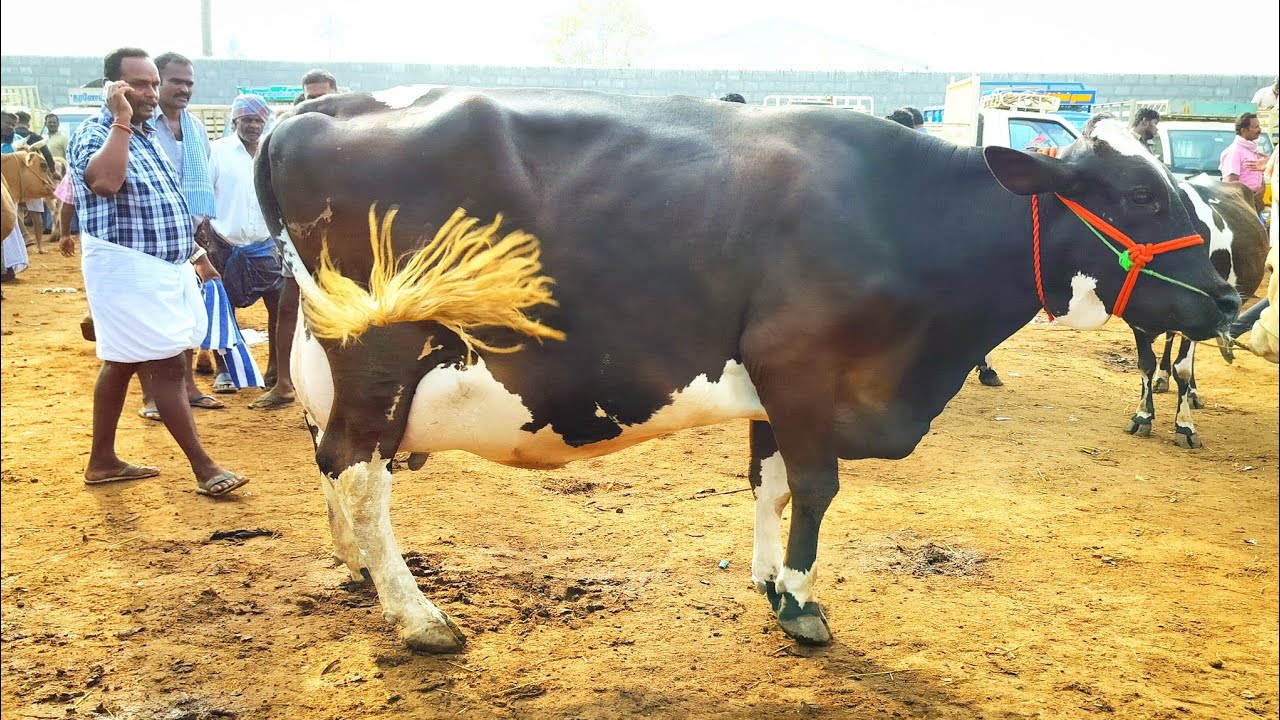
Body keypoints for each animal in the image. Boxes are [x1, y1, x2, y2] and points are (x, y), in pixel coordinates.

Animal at [256, 89, 1238, 653]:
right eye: (1141, 195)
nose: (1230, 297)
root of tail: (313, 115)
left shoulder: (778, 382)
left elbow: (770, 482)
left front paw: (770, 583)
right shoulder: (802, 364)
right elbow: (817, 485)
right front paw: (801, 604)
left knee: (333, 464)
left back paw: (359, 571)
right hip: (382, 348)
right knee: (360, 470)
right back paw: (418, 617)